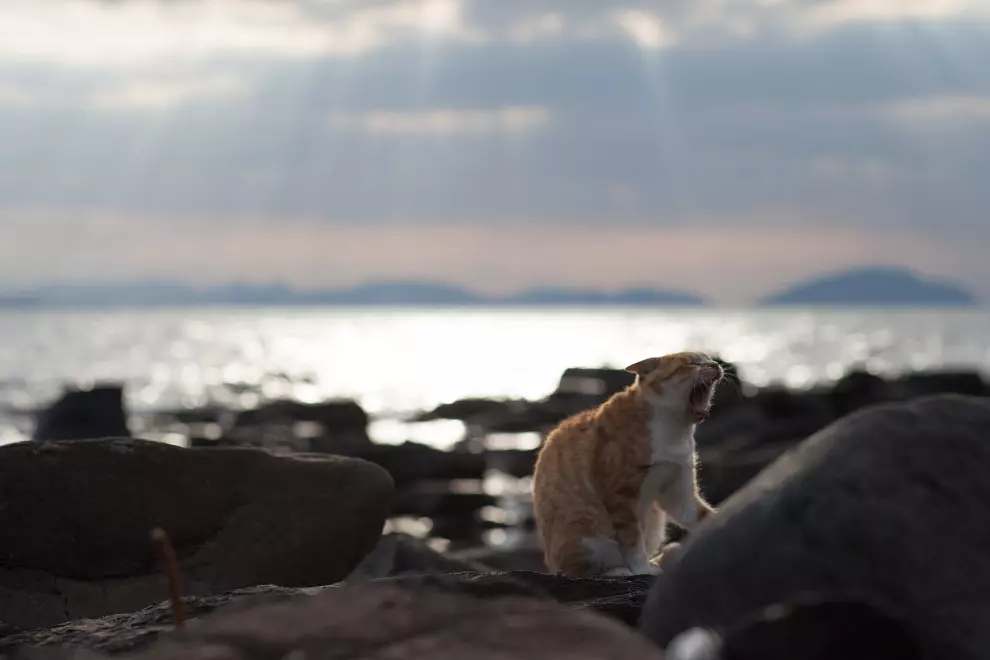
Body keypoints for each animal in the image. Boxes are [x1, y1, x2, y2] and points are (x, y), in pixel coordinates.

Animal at [532, 350, 724, 576]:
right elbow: (632, 541)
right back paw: (621, 570)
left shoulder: (678, 490)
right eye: (692, 363)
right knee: (583, 568)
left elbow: (701, 516)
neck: (674, 430)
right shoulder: (620, 497)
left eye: (709, 359)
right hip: (582, 529)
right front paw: (642, 568)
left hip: (655, 522)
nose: (716, 365)